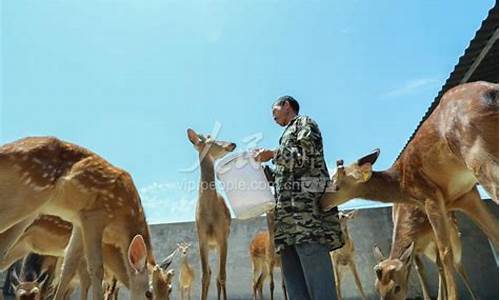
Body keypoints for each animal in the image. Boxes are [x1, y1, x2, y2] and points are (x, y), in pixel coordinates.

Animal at [0, 137, 177, 300]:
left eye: (170, 289)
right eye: (149, 293)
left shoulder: (78, 221)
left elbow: (68, 267)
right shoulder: (95, 215)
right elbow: (96, 268)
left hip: (27, 214)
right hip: (24, 200)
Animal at [188, 127, 236, 298]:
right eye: (212, 141)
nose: (232, 144)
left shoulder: (223, 235)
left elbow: (222, 276)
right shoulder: (201, 237)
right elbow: (204, 276)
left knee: (218, 275)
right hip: (211, 245)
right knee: (210, 273)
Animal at [322, 82, 498, 300]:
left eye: (336, 183)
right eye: (376, 286)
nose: (320, 201)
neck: (403, 184)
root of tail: (493, 93)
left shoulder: (431, 198)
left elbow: (445, 253)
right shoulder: (465, 195)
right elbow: (493, 231)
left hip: (481, 159)